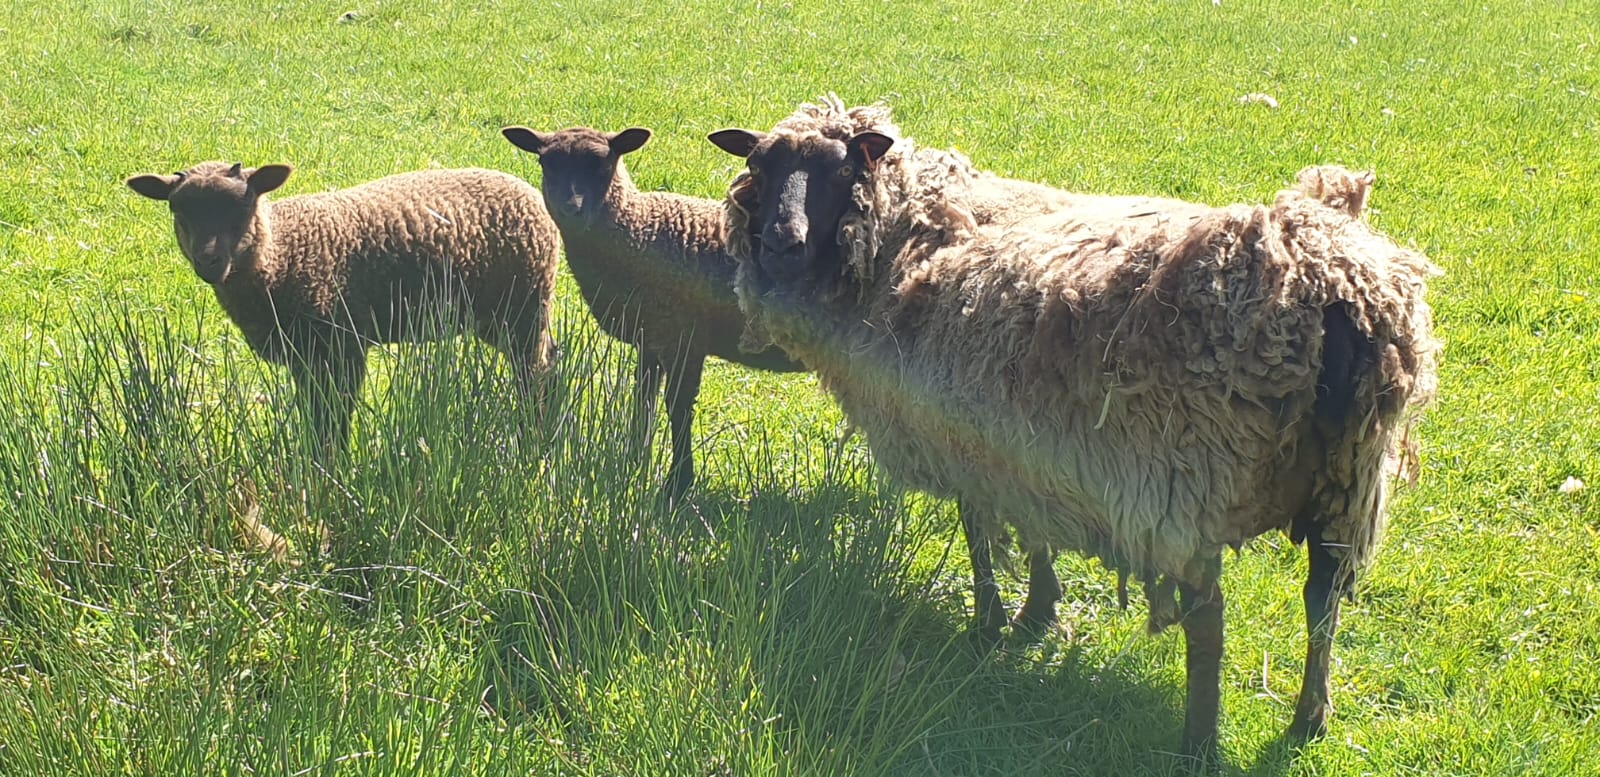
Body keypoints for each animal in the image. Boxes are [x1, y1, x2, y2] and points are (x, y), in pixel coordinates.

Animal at [125, 161, 561, 449]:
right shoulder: (304, 355)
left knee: (534, 373)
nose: (209, 261)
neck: (282, 254)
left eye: (244, 205)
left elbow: (334, 419)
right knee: (551, 360)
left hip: (524, 305)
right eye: (177, 209)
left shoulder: (342, 345)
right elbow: (314, 418)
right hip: (499, 317)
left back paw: (533, 438)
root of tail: (530, 194)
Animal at [497, 124, 812, 500]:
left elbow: (678, 407)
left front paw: (679, 485)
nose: (571, 208)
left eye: (603, 163)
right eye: (545, 163)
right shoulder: (651, 339)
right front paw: (636, 463)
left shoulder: (682, 335)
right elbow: (643, 400)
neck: (641, 231)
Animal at [709, 96, 1439, 764]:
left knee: (1208, 617)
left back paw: (1199, 745)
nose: (781, 242)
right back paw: (1309, 718)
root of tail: (1328, 281)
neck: (905, 231)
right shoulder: (1020, 438)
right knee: (1324, 594)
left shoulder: (961, 429)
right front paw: (1038, 611)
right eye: (758, 166)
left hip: (1189, 477)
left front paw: (989, 624)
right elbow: (1030, 529)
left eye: (839, 171)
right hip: (1348, 475)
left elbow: (978, 528)